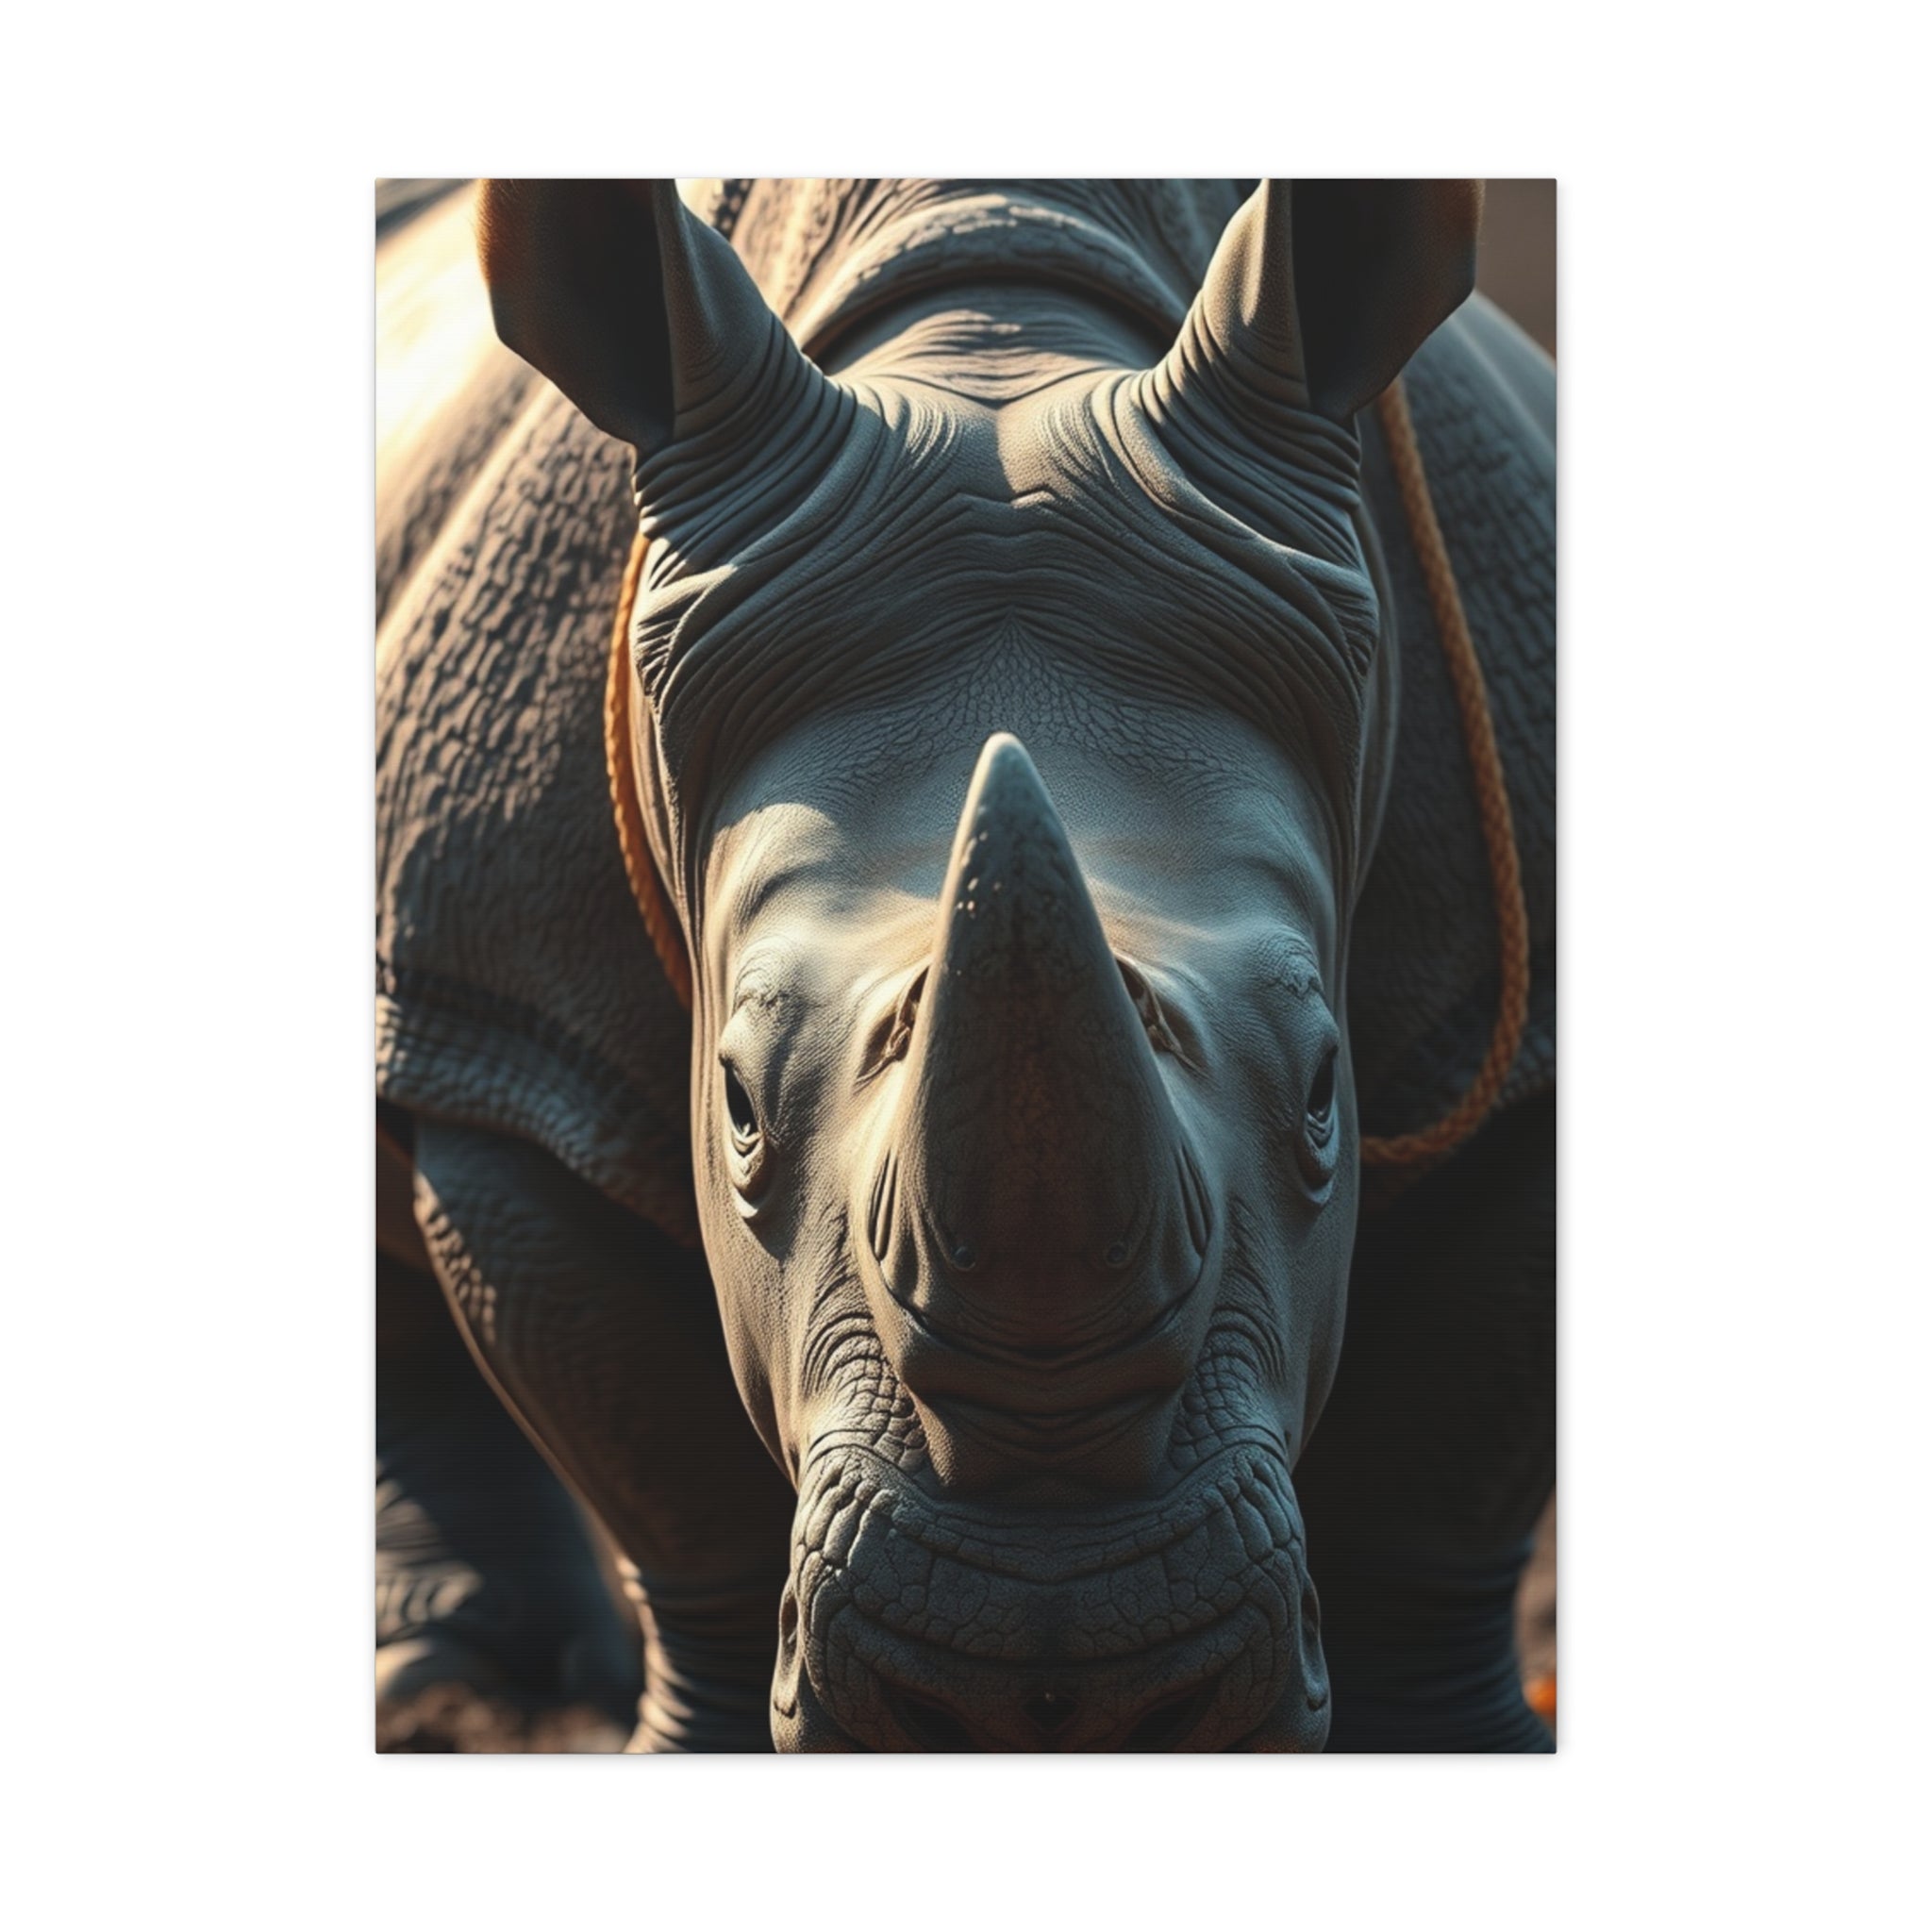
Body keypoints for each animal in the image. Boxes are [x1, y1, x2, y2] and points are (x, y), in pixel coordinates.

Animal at [375, 178, 1555, 1752]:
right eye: (734, 1103)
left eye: (1324, 1090)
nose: (1062, 1675)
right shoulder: (508, 1029)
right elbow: (677, 1491)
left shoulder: (1505, 1021)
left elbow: (1448, 1467)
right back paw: (442, 1684)